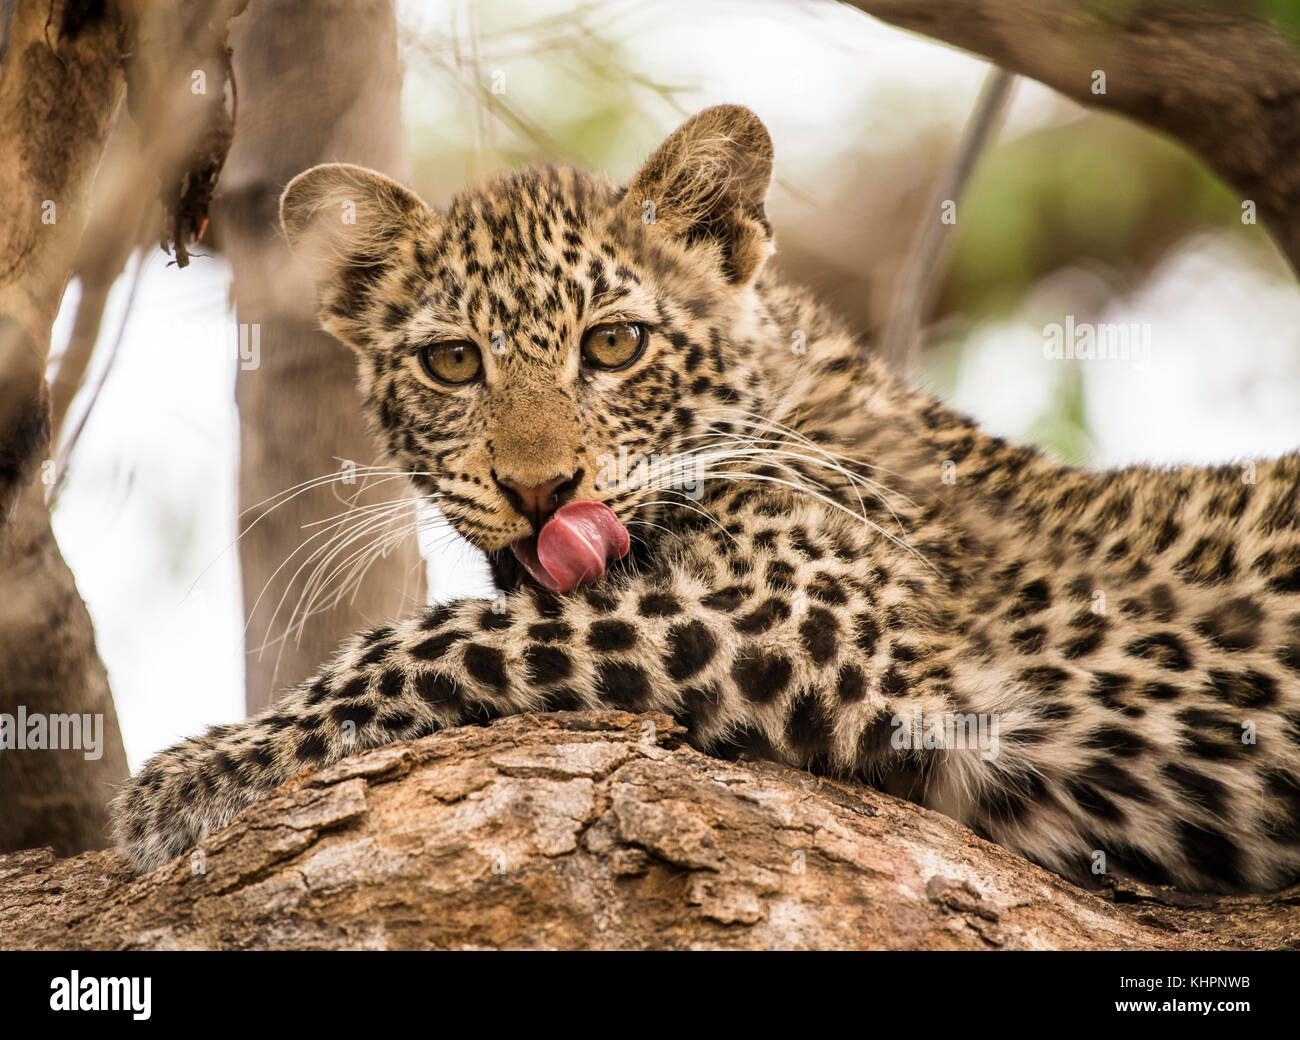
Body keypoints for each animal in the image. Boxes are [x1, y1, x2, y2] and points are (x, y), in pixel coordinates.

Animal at [110, 105, 1300, 893]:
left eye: (614, 344)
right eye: (452, 362)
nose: (540, 489)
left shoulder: (819, 615)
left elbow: (454, 634)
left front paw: (202, 768)